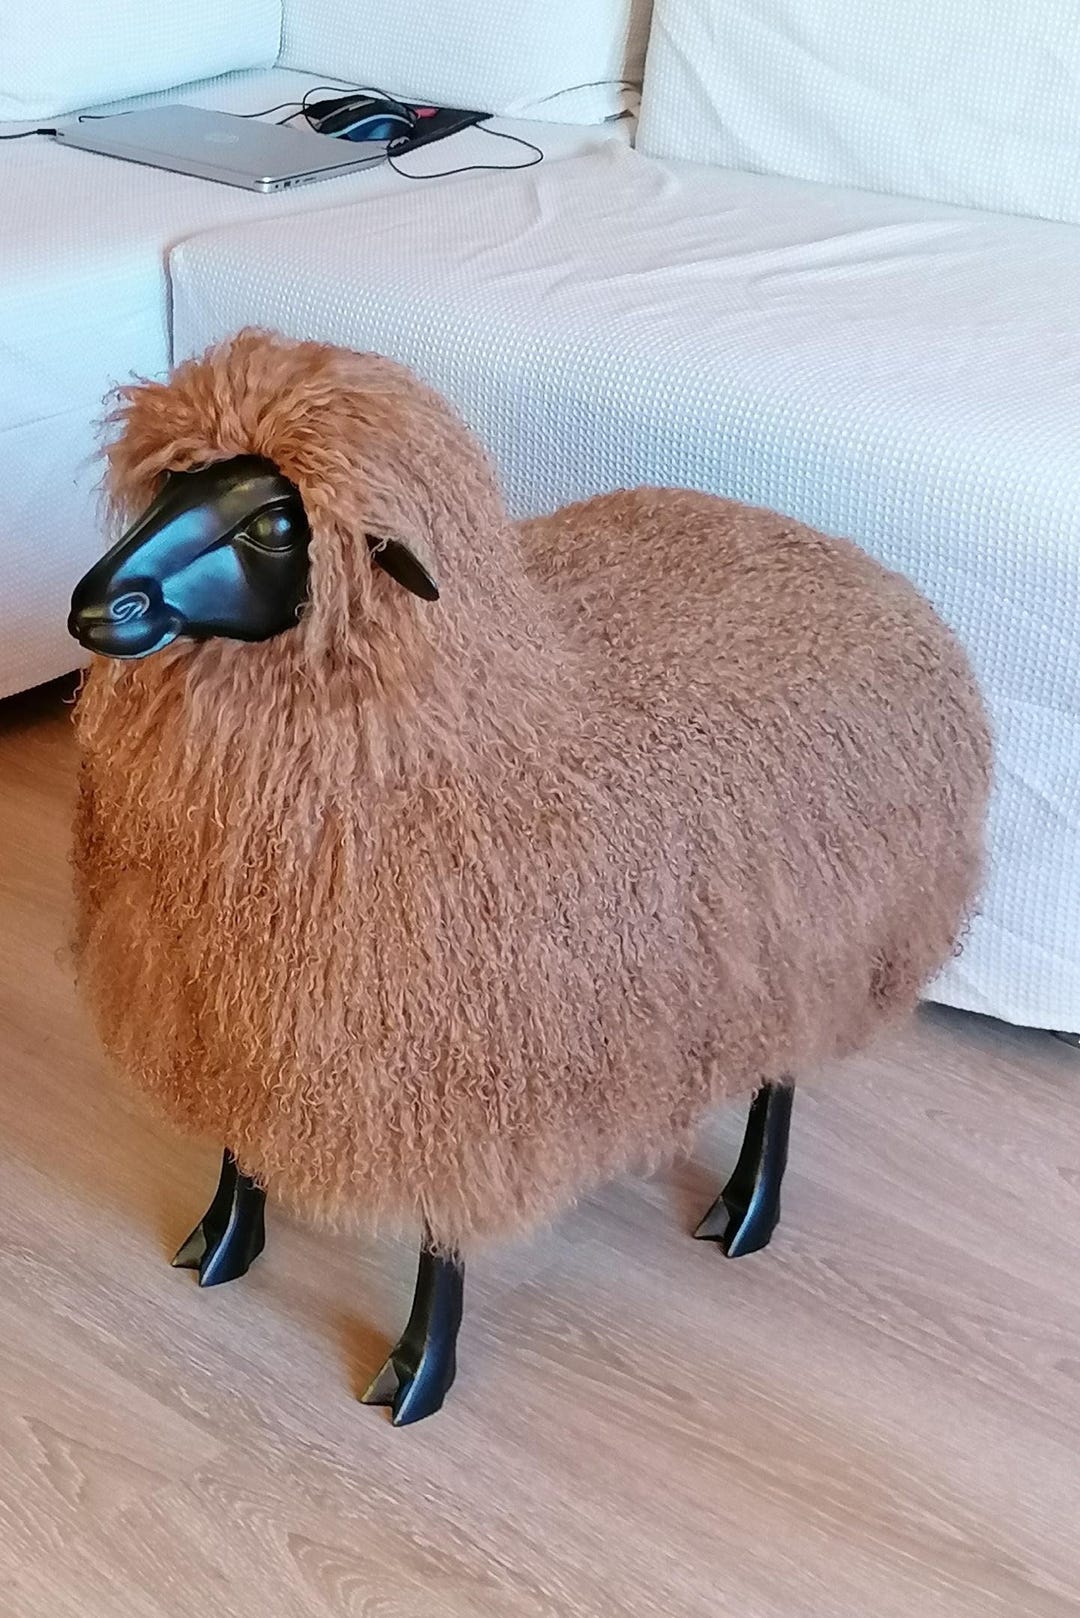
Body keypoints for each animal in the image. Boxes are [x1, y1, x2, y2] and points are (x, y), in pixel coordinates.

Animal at [69, 330, 991, 1425]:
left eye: (276, 520)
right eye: (173, 481)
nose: (95, 606)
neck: (472, 717)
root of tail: (853, 557)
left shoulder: (469, 1058)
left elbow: (443, 1234)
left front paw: (420, 1370)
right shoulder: (239, 1005)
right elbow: (236, 1147)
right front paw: (222, 1243)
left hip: (825, 927)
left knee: (782, 1084)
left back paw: (745, 1209)